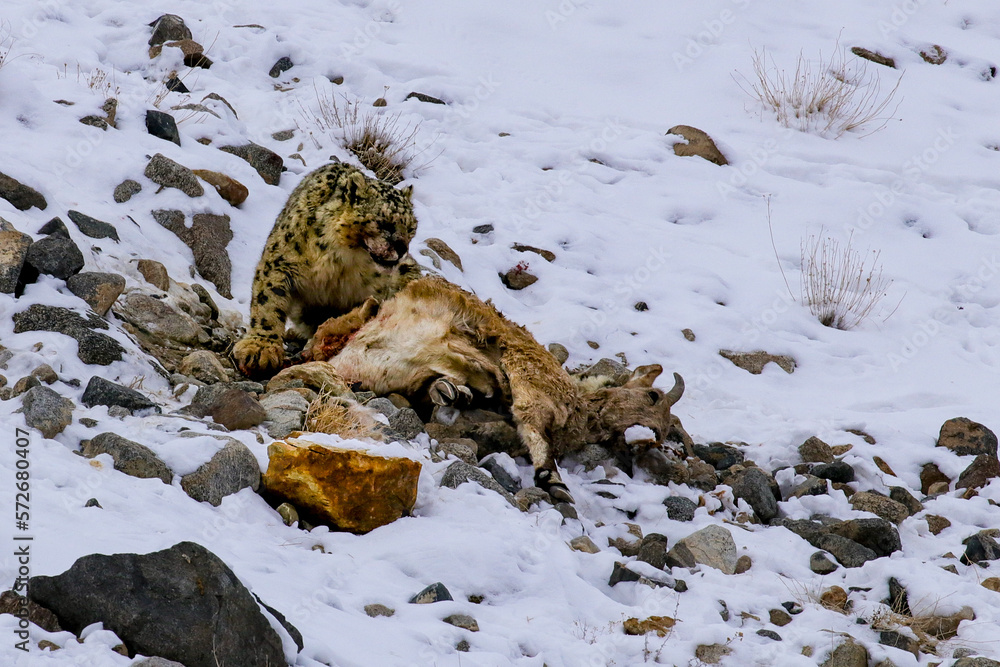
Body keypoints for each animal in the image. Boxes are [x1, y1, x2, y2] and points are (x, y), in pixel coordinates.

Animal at [232, 162, 420, 378]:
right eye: (385, 223)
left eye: (412, 228)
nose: (402, 248)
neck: (343, 261)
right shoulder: (281, 260)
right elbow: (268, 302)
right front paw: (261, 349)